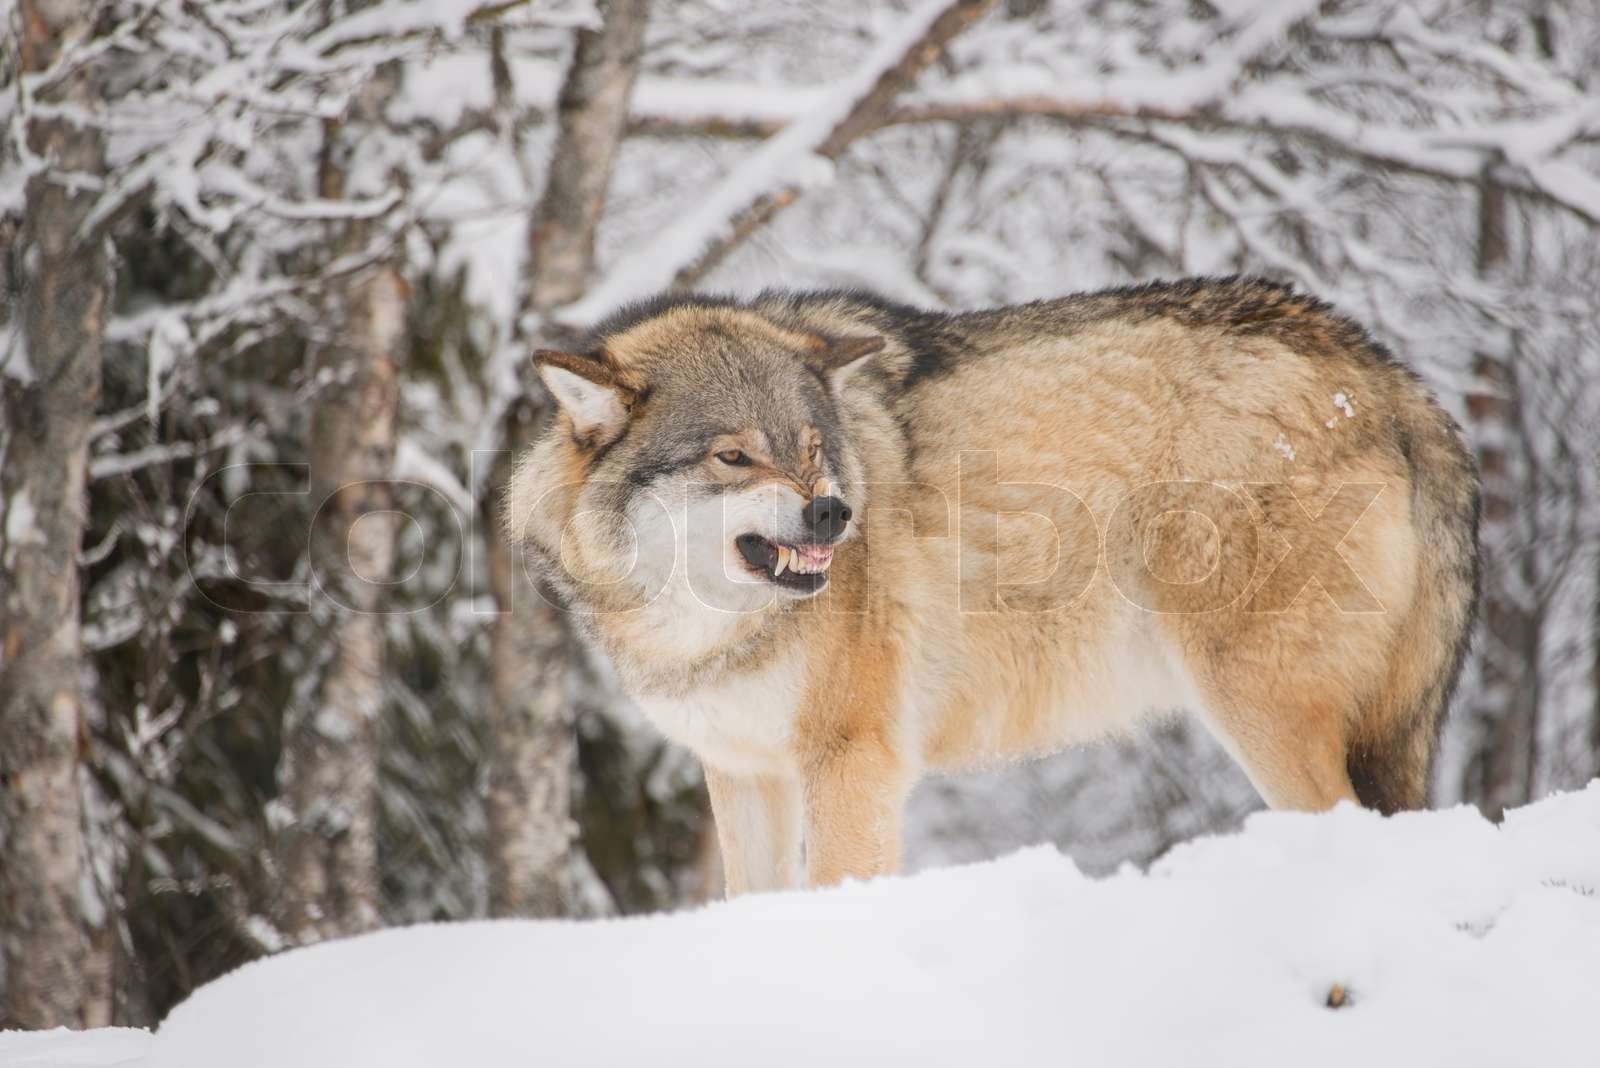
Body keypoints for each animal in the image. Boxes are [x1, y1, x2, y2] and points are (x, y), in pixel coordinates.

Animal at [506, 277, 1479, 894]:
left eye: (813, 449)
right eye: (734, 456)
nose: (832, 513)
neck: (709, 627)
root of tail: (1386, 370)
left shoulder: (853, 761)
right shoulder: (744, 773)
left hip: (1258, 709)